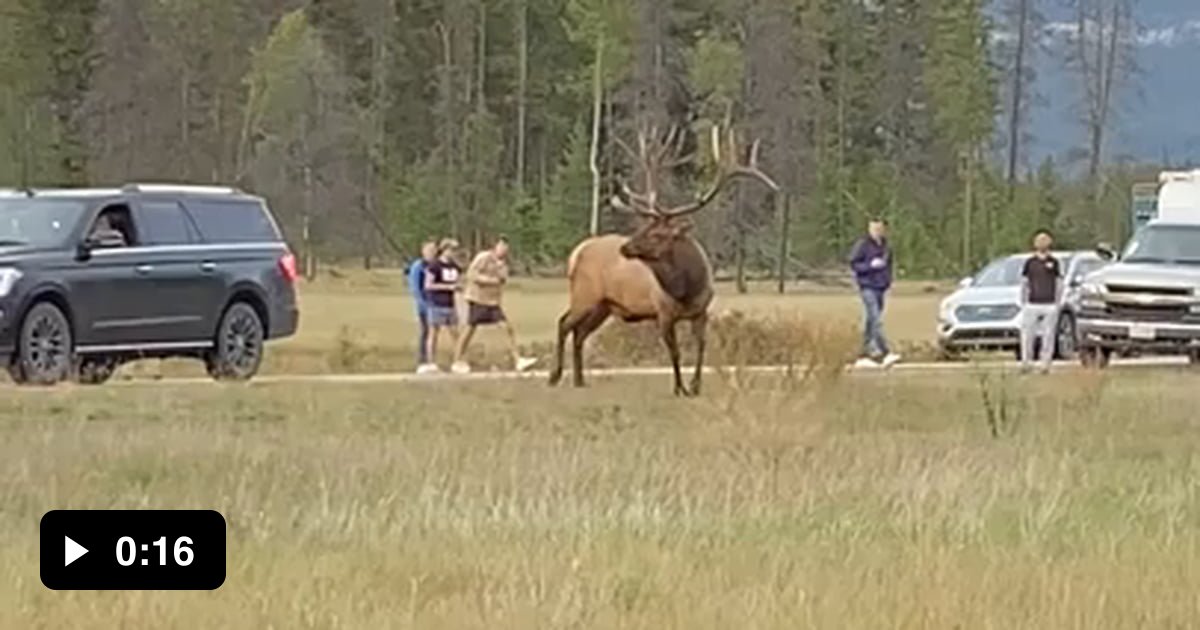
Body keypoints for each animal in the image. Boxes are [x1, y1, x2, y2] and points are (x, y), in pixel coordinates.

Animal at [547, 124, 779, 396]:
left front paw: (695, 386)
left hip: (604, 305)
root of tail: (577, 252)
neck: (687, 289)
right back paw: (555, 376)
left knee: (580, 333)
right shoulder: (663, 312)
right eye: (646, 227)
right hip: (585, 294)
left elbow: (701, 347)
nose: (626, 247)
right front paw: (680, 388)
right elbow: (675, 352)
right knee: (564, 323)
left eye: (658, 234)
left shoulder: (701, 311)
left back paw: (579, 379)